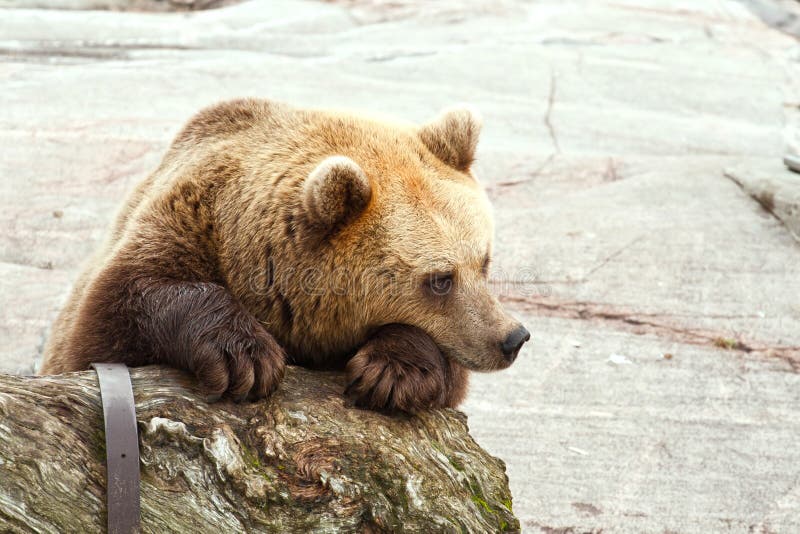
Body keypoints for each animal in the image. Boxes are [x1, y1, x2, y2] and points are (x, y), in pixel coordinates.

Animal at [40, 98, 530, 413]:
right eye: (440, 279)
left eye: (484, 262)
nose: (512, 338)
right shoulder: (185, 220)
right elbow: (116, 311)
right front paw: (246, 357)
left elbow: (445, 370)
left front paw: (392, 373)